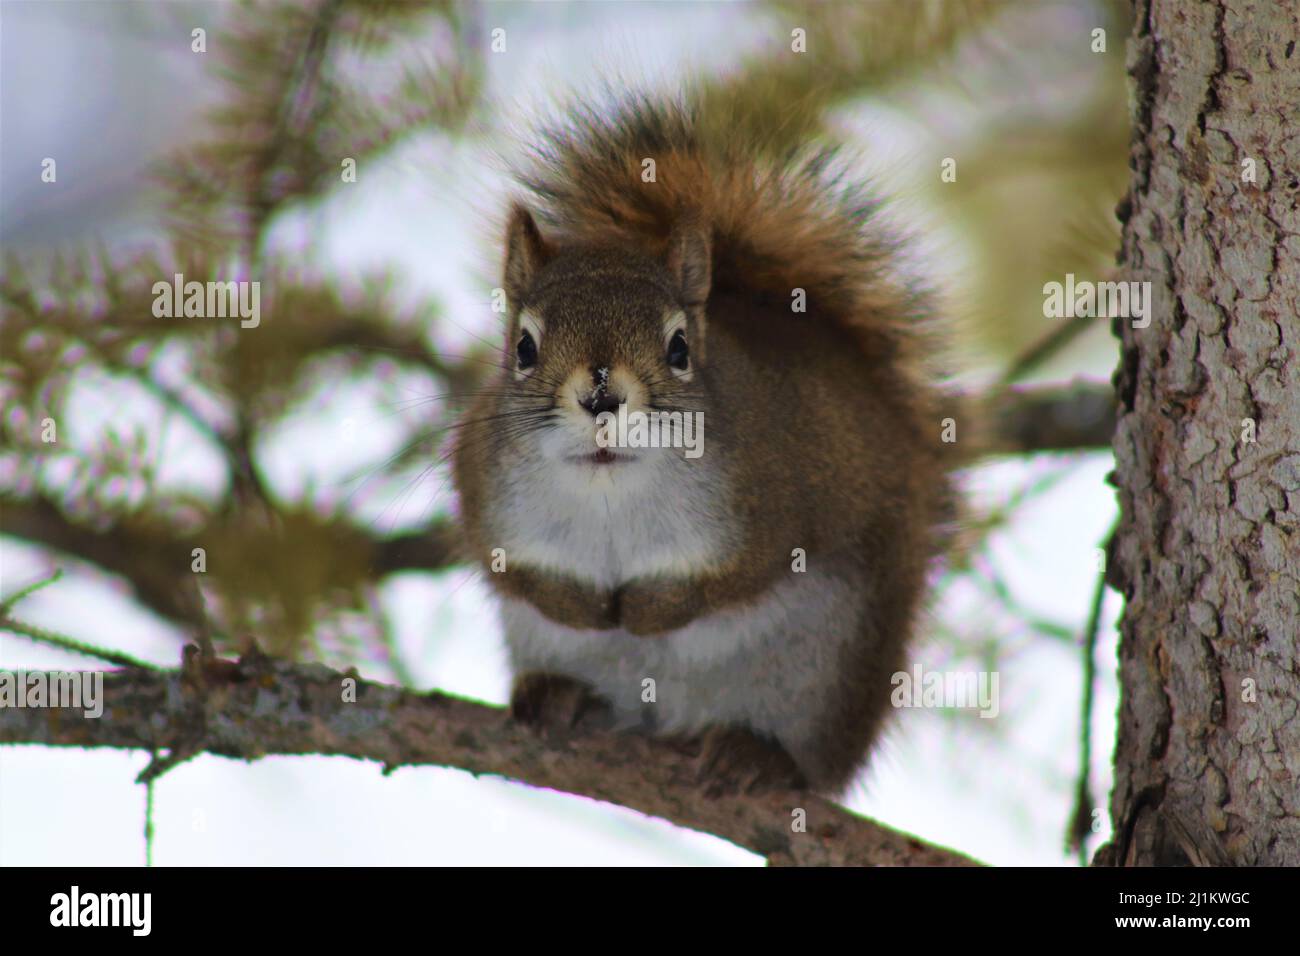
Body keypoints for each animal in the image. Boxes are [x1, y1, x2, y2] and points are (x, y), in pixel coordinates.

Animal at [452, 92, 953, 795]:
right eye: (523, 347)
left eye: (679, 348)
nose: (602, 397)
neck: (609, 489)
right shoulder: (479, 483)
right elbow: (511, 569)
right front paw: (583, 607)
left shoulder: (775, 499)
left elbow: (739, 577)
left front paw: (647, 611)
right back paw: (560, 694)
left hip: (825, 676)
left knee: (810, 761)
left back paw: (758, 753)